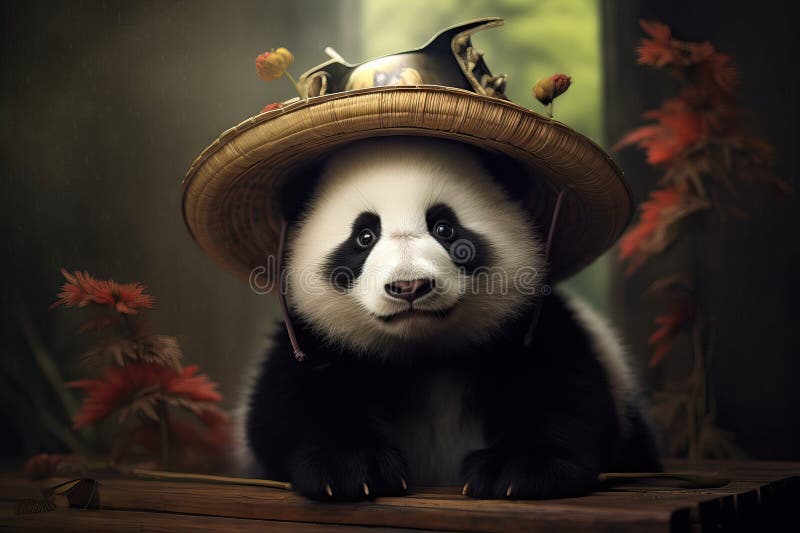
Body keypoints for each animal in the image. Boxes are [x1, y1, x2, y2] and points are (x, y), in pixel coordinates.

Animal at [244, 136, 661, 501]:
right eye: (364, 236)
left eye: (444, 228)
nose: (409, 286)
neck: (425, 354)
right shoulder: (315, 338)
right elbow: (290, 405)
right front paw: (351, 469)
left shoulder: (527, 326)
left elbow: (562, 388)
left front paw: (518, 469)